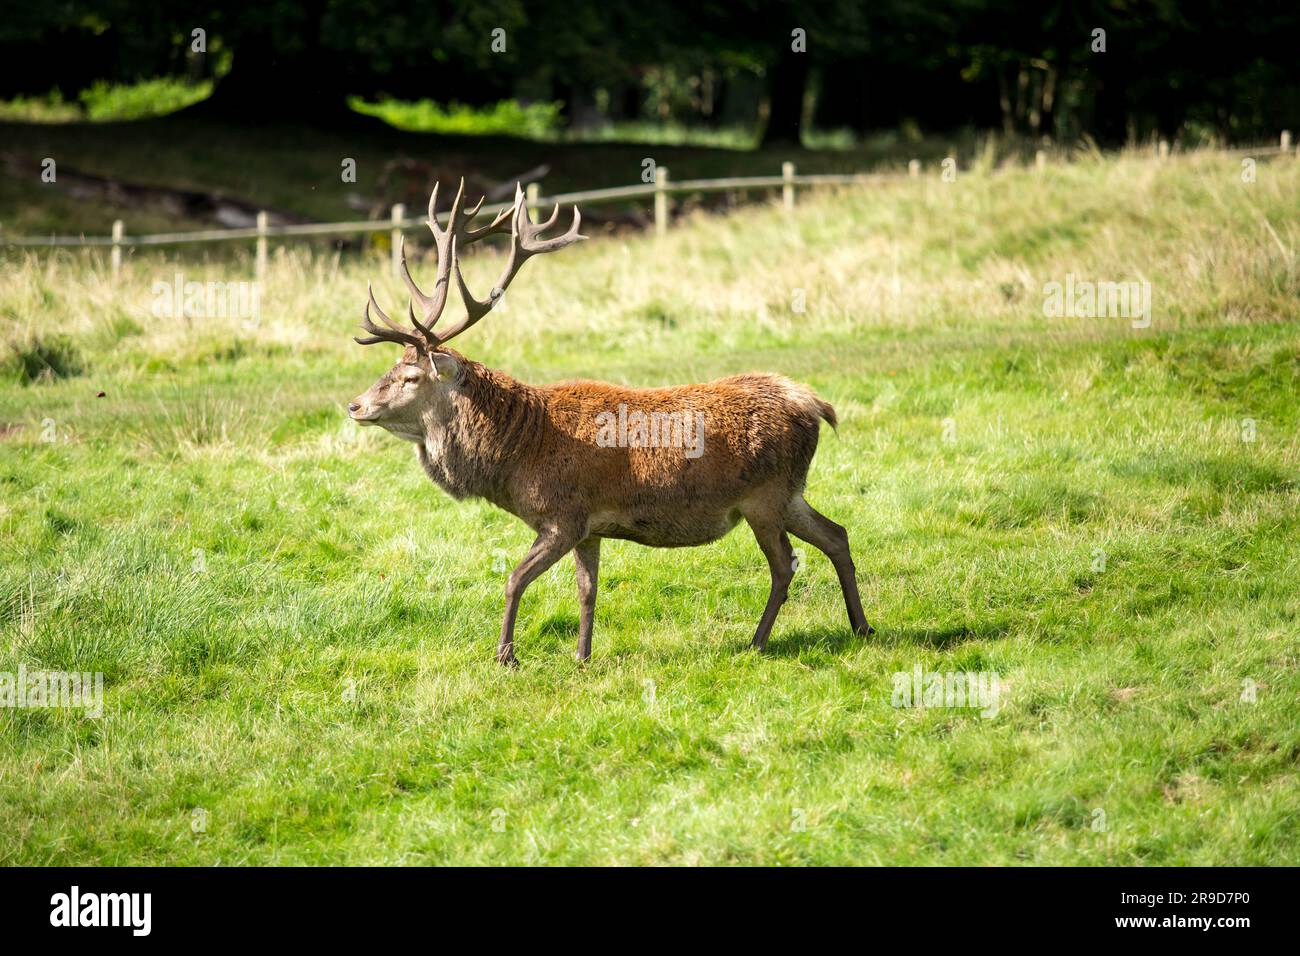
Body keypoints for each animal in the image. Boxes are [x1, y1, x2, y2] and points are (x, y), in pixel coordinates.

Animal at [348, 180, 873, 666]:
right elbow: (587, 590)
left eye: (411, 376)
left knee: (785, 564)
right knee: (837, 534)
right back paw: (861, 626)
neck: (516, 457)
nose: (355, 405)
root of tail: (813, 403)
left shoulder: (562, 516)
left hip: (764, 495)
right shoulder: (590, 527)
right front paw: (582, 656)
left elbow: (514, 579)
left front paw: (505, 656)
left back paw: (758, 641)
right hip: (789, 493)